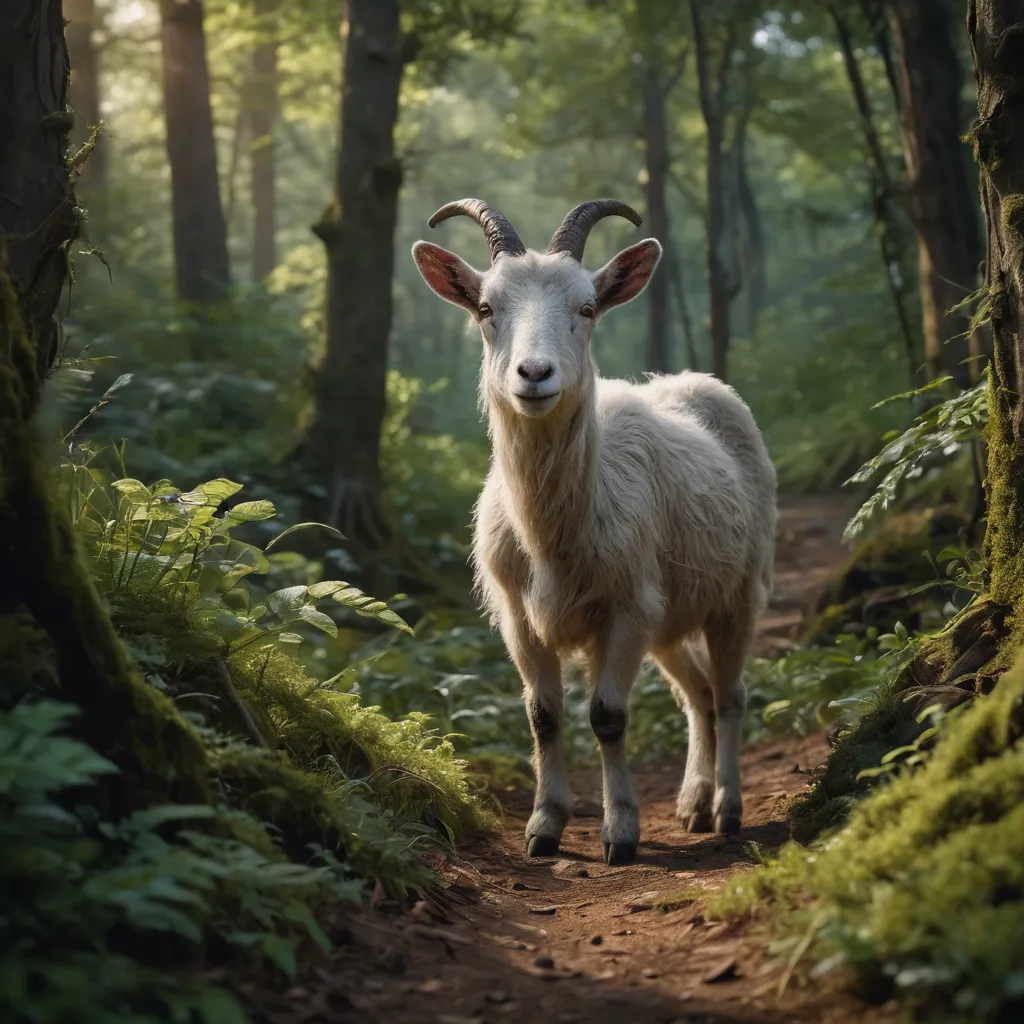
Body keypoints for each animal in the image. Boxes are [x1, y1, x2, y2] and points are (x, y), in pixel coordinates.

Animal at [412, 199, 776, 866]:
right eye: (486, 309)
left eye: (587, 308)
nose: (534, 373)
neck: (553, 535)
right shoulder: (519, 615)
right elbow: (543, 715)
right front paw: (543, 828)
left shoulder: (625, 607)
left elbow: (608, 716)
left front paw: (621, 833)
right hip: (668, 613)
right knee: (698, 694)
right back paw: (692, 804)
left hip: (736, 591)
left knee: (730, 693)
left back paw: (727, 808)